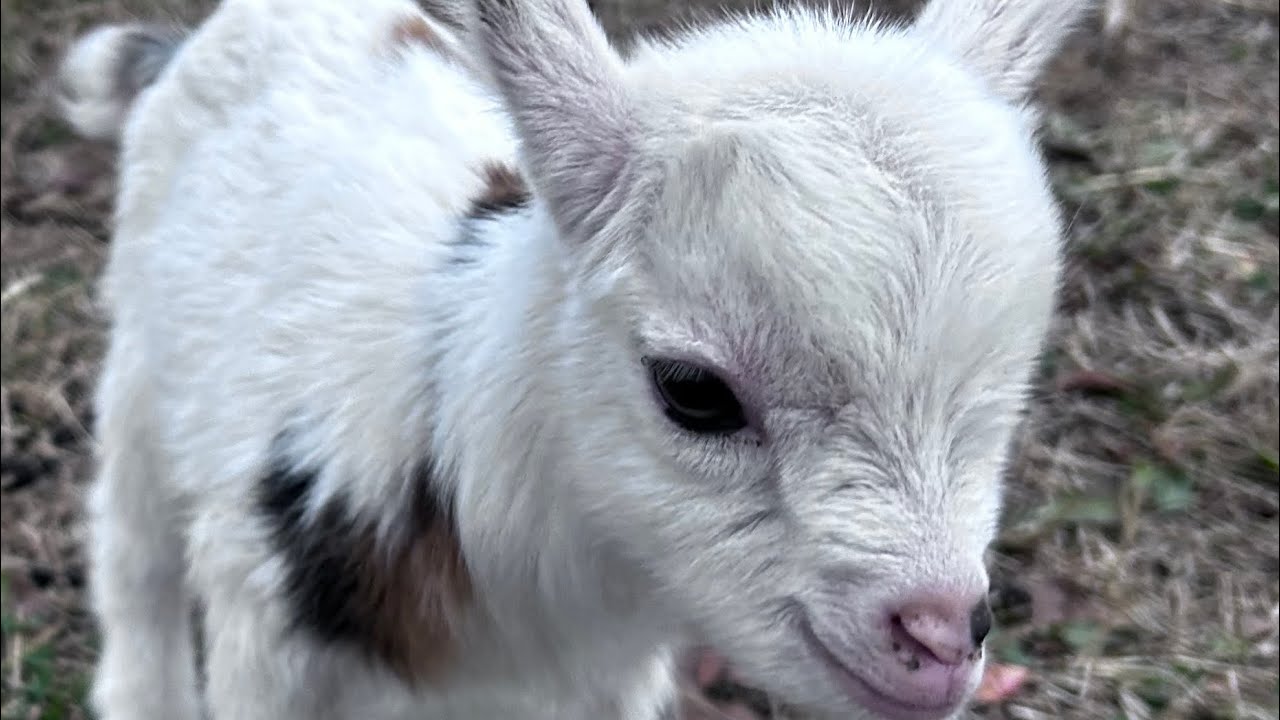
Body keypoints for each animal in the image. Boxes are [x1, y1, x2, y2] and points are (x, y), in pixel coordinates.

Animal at [58, 0, 1086, 717]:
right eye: (693, 391)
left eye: (1006, 393)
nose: (941, 641)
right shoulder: (267, 625)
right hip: (142, 348)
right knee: (133, 551)